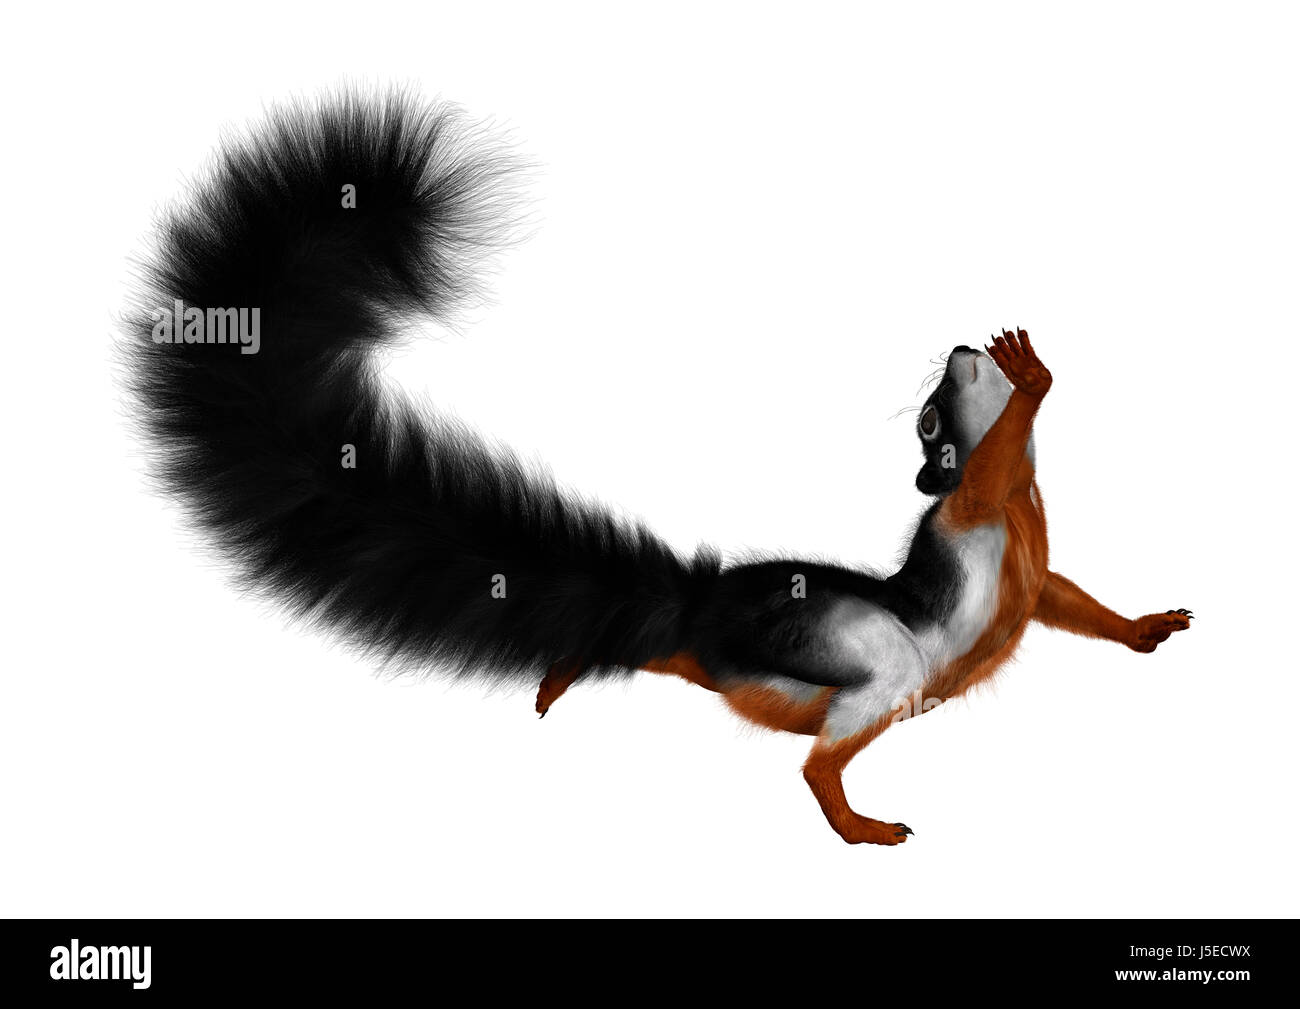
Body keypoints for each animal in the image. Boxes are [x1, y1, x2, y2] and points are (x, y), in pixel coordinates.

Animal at [127, 91, 1192, 845]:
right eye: (934, 415)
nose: (964, 350)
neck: (1024, 504)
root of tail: (697, 605)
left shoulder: (1026, 550)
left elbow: (1064, 595)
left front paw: (1141, 629)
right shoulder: (973, 499)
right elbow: (998, 459)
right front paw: (1032, 375)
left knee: (672, 661)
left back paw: (572, 666)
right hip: (854, 641)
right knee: (824, 745)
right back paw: (851, 818)